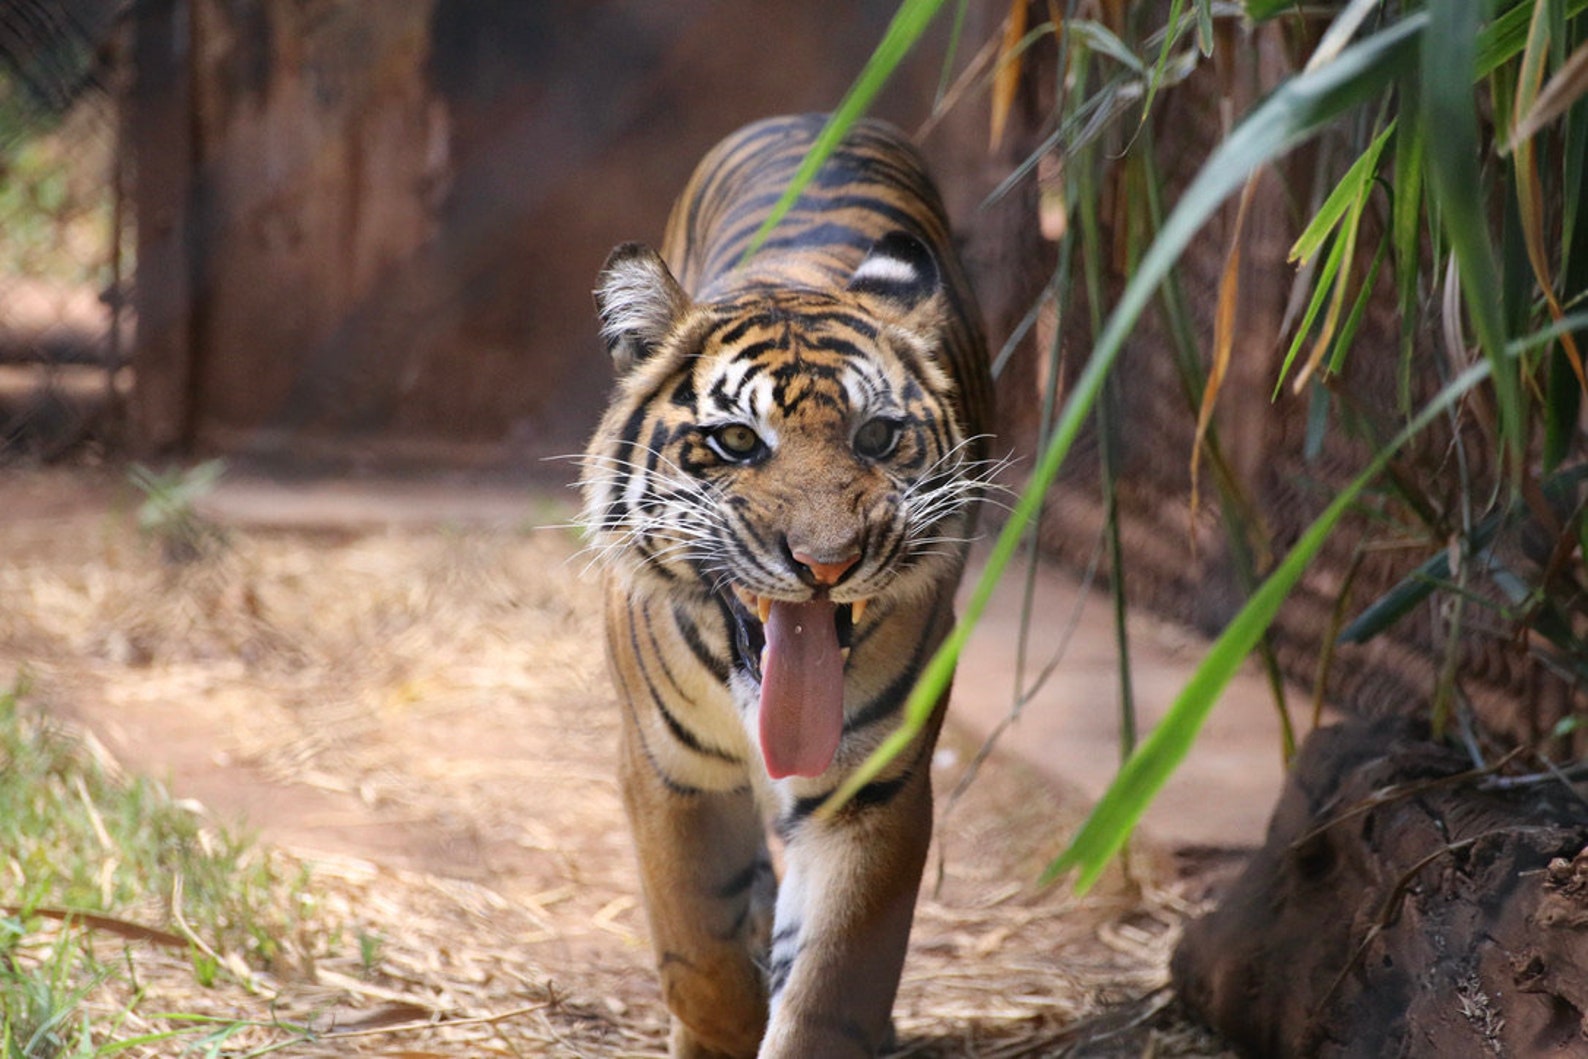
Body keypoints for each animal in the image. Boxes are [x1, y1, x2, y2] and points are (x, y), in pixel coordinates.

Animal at [579, 113, 995, 1058]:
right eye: (736, 441)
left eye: (878, 436)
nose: (827, 561)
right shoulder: (667, 771)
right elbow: (696, 942)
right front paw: (721, 1026)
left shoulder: (873, 786)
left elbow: (832, 979)